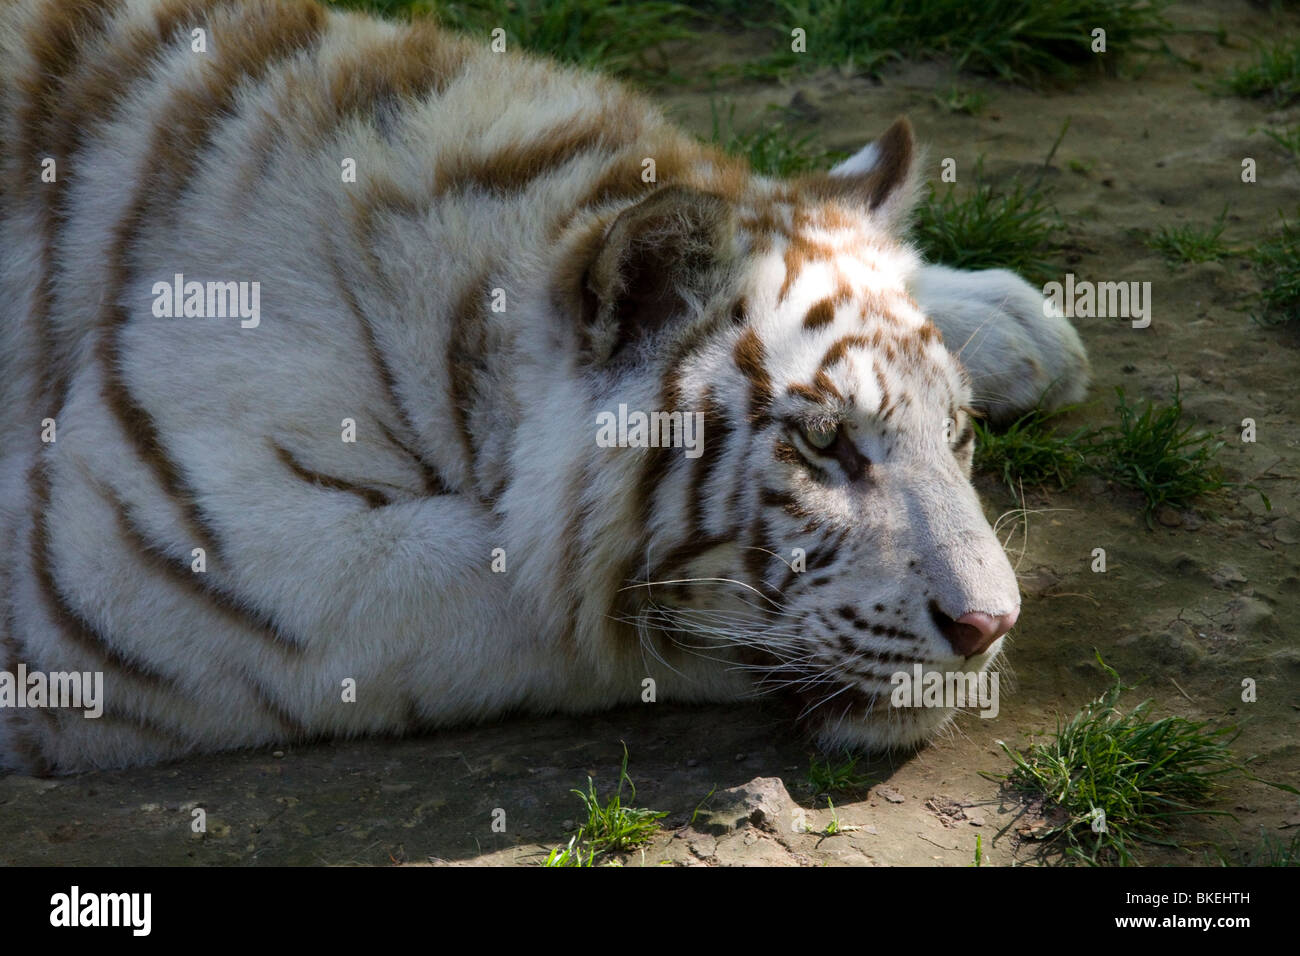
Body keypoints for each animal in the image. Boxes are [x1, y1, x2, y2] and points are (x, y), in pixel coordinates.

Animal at [0, 0, 1090, 774]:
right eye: (821, 442)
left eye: (957, 432)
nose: (992, 627)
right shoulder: (135, 549)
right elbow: (549, 592)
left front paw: (1011, 319)